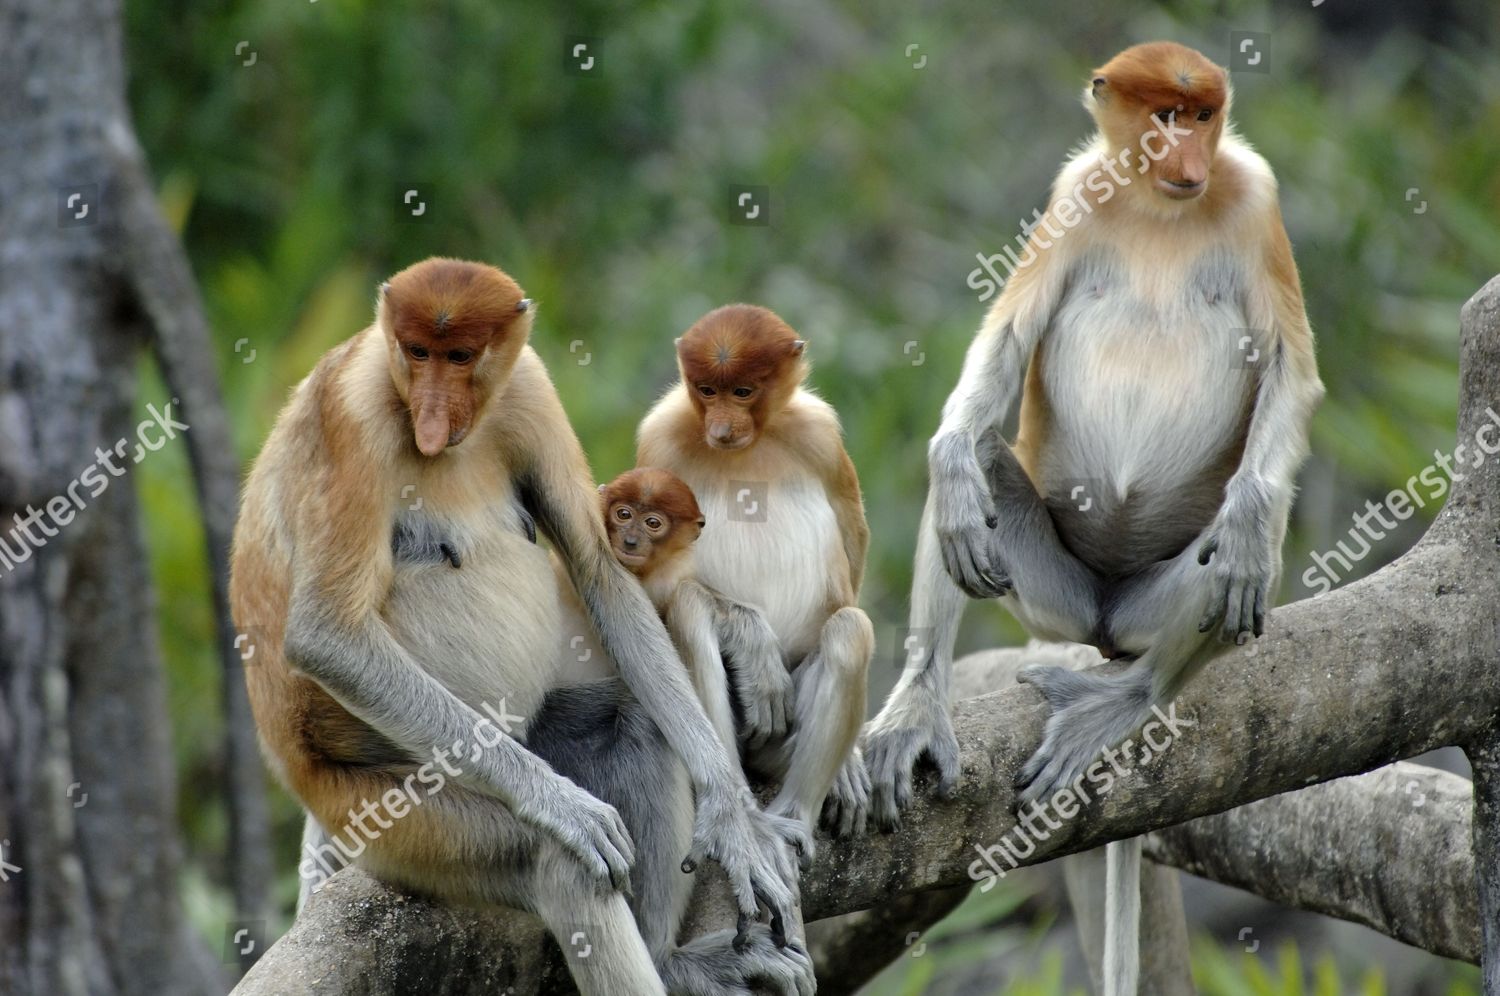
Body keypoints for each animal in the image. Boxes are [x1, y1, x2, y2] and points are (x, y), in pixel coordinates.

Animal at [637, 305, 876, 840]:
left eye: (743, 392)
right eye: (708, 390)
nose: (722, 429)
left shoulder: (819, 436)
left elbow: (851, 532)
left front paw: (850, 766)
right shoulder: (659, 440)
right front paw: (755, 646)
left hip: (778, 745)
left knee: (850, 630)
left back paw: (795, 816)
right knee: (689, 608)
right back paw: (742, 814)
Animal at [858, 42, 1324, 996]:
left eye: (1204, 117)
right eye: (1165, 118)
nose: (1189, 159)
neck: (1156, 206)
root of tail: (1108, 617)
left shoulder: (1252, 194)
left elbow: (1291, 371)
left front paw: (1248, 532)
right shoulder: (1074, 195)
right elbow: (1002, 345)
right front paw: (954, 473)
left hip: (1146, 605)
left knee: (1242, 543)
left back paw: (1135, 695)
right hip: (1054, 594)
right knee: (973, 466)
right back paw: (919, 705)